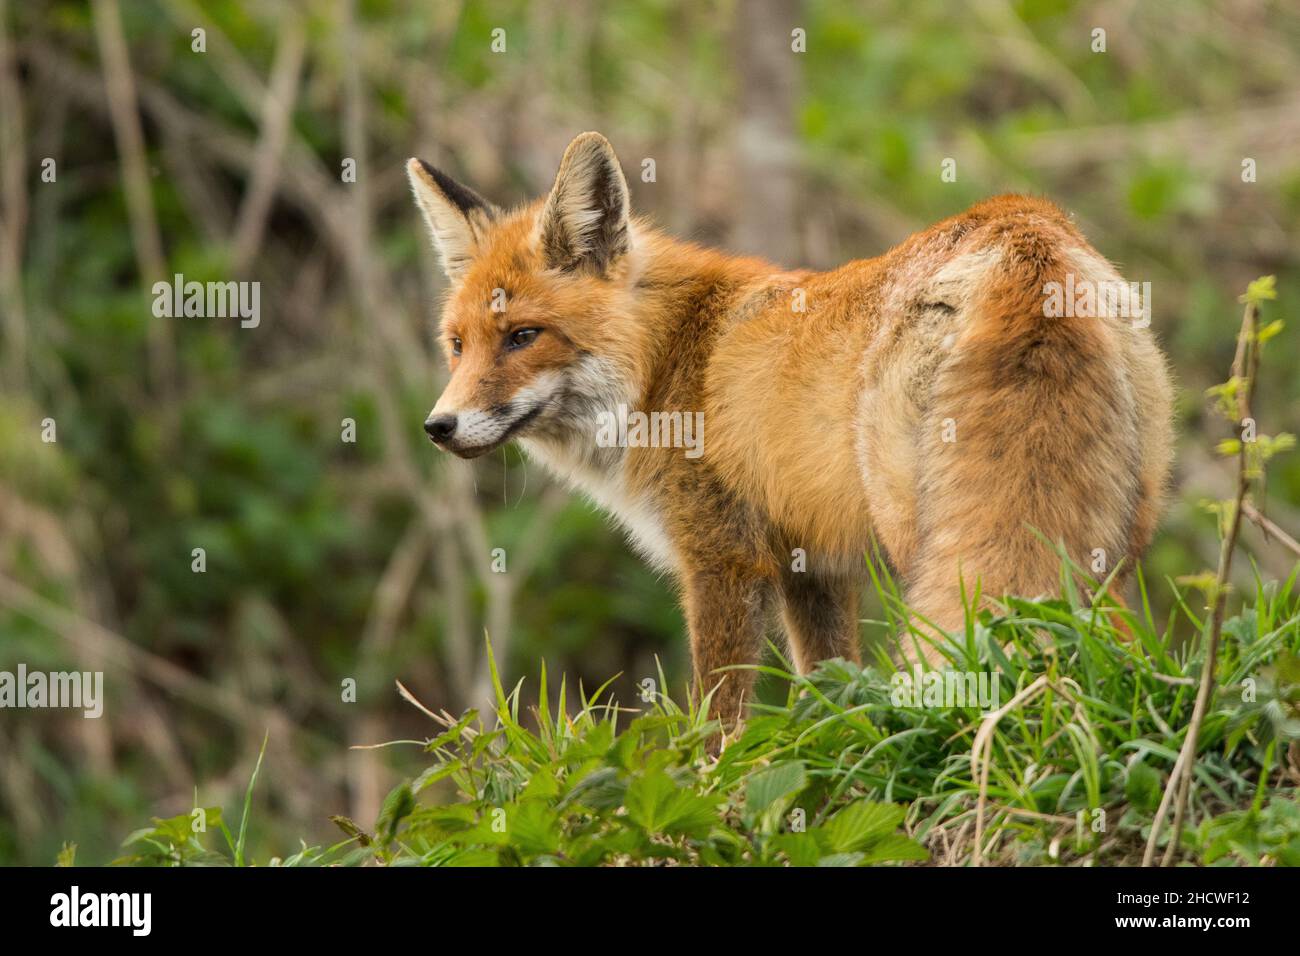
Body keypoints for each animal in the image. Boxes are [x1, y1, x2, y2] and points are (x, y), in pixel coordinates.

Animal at [406, 131, 1174, 728]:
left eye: (522, 337)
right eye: (456, 345)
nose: (439, 426)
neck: (665, 364)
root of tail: (1024, 225)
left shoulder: (723, 559)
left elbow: (719, 717)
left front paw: (712, 789)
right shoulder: (812, 567)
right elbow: (830, 684)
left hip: (919, 531)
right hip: (1120, 534)